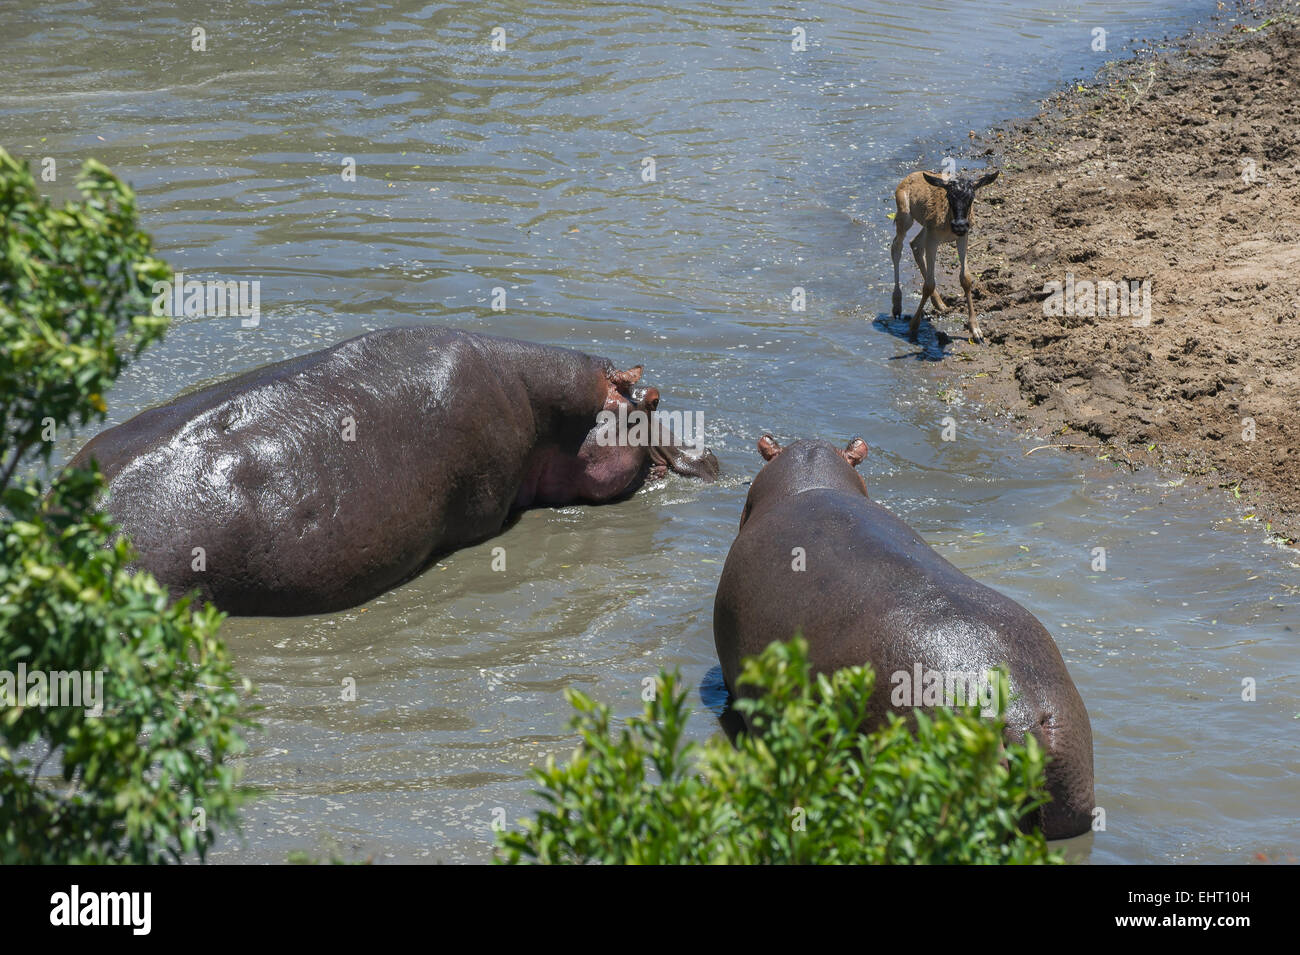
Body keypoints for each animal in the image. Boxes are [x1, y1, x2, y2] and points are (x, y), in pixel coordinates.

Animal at [890, 168, 999, 343]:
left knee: (915, 244)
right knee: (896, 246)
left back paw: (940, 303)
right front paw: (913, 325)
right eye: (949, 196)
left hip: (925, 228)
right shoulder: (933, 239)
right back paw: (897, 305)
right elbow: (928, 284)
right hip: (905, 215)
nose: (959, 225)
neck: (948, 224)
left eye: (972, 197)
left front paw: (976, 330)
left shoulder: (962, 237)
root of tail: (908, 177)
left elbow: (965, 279)